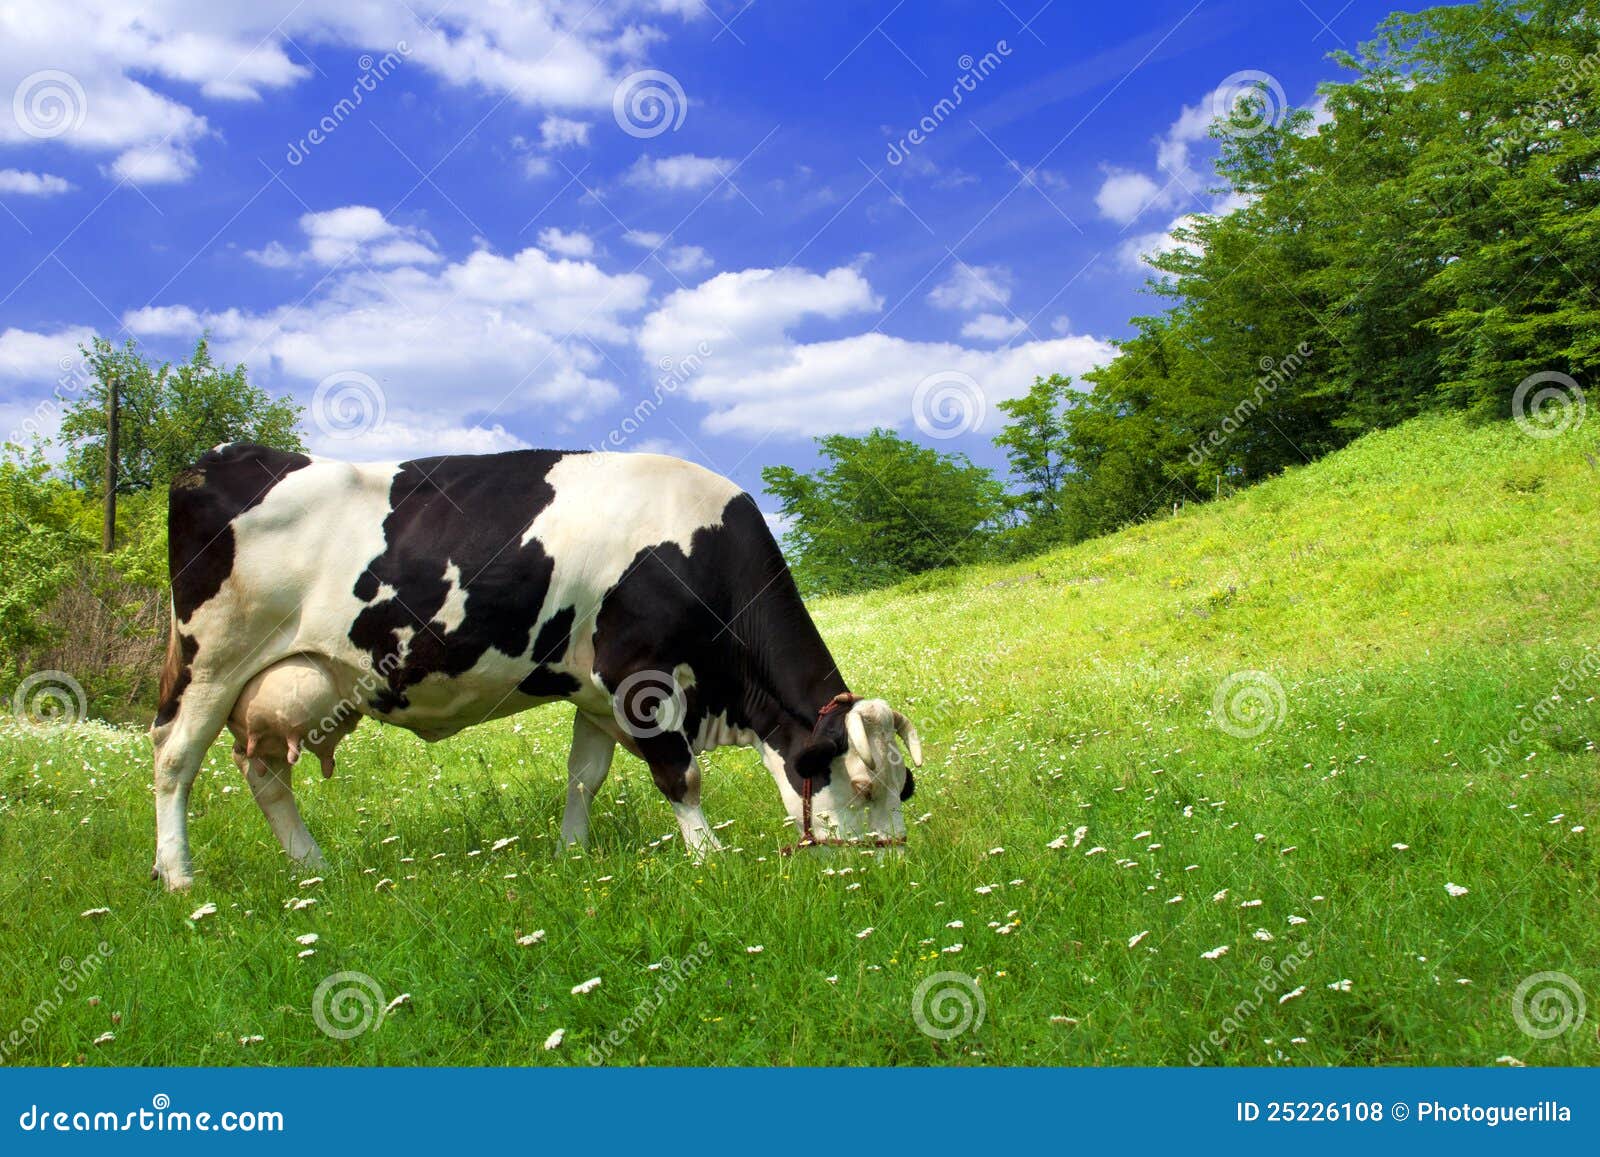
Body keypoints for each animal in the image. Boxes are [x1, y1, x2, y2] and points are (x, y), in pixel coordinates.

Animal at [150, 443, 922, 890]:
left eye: (905, 786)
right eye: (860, 784)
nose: (891, 869)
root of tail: (221, 456)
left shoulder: (595, 695)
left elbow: (585, 776)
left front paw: (569, 856)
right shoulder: (638, 674)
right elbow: (680, 775)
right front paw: (708, 859)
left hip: (284, 682)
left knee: (265, 774)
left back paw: (314, 869)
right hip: (212, 662)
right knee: (175, 760)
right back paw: (181, 878)